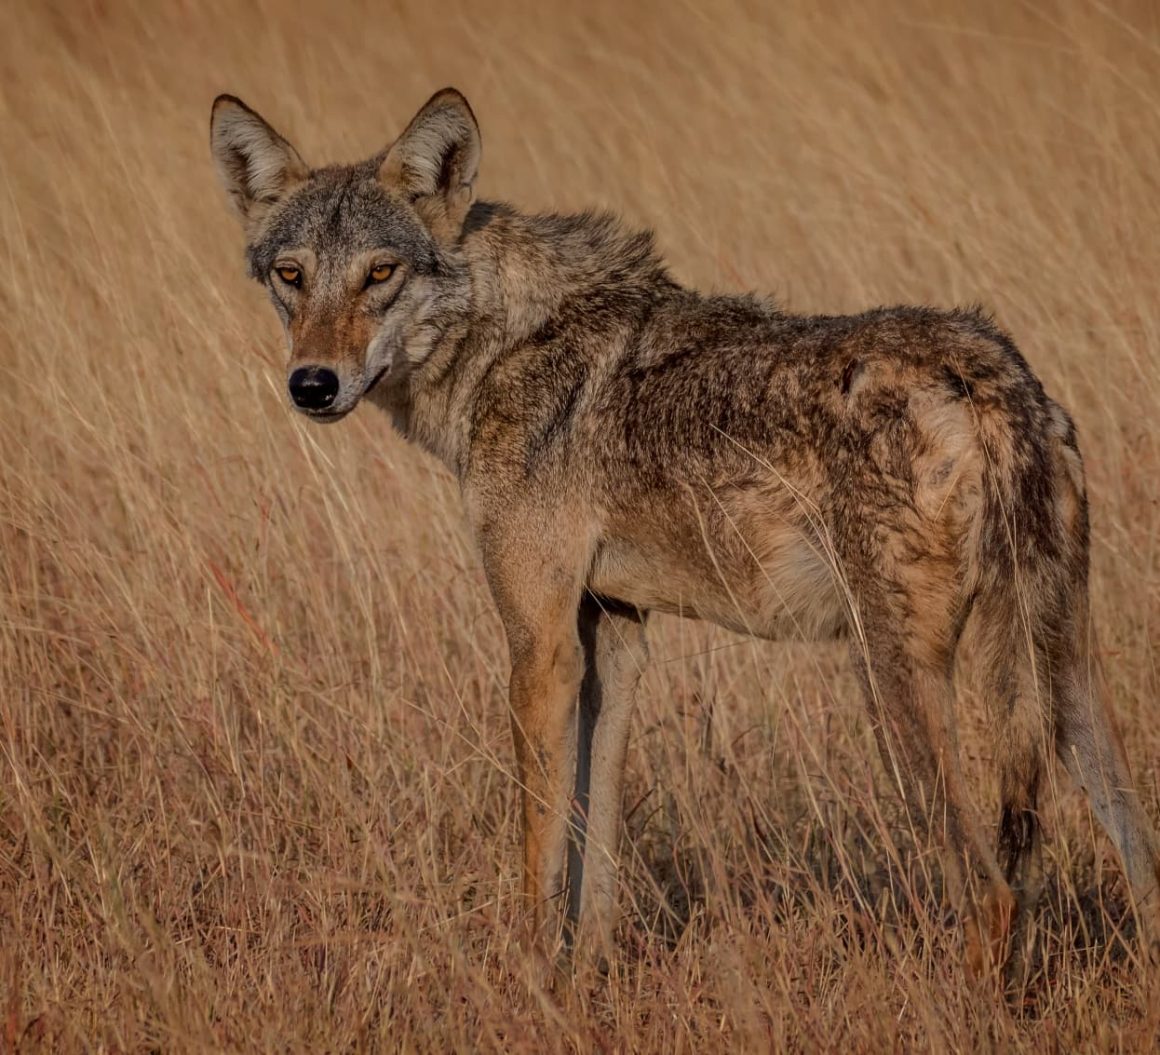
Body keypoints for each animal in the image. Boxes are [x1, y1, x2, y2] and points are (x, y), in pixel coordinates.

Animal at [209, 88, 1160, 979]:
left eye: (380, 274)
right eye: (292, 275)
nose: (312, 383)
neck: (501, 345)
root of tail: (994, 370)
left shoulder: (539, 644)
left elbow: (540, 852)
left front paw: (530, 981)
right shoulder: (614, 638)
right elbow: (595, 853)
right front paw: (587, 979)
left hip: (896, 680)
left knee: (993, 890)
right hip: (1064, 679)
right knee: (1138, 859)